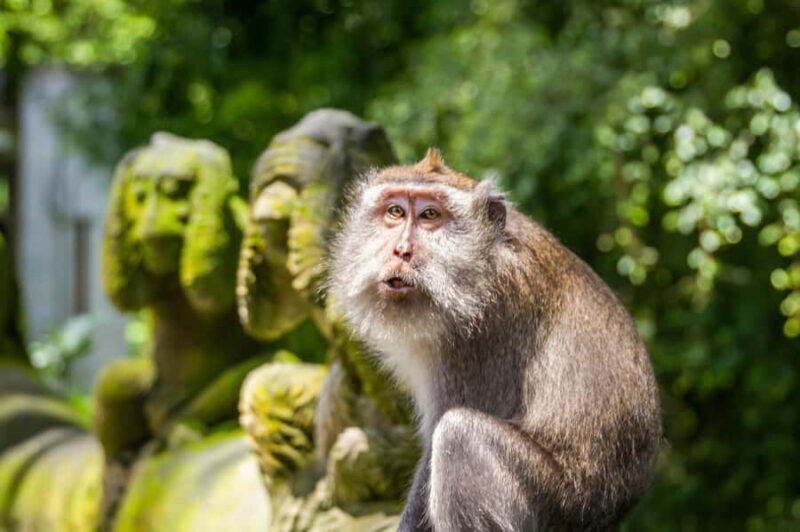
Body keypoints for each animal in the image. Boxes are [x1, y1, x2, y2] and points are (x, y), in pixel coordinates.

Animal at [328, 148, 662, 531]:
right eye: (395, 212)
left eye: (430, 215)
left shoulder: (475, 337)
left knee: (460, 436)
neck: (482, 258)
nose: (401, 250)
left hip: (552, 503)